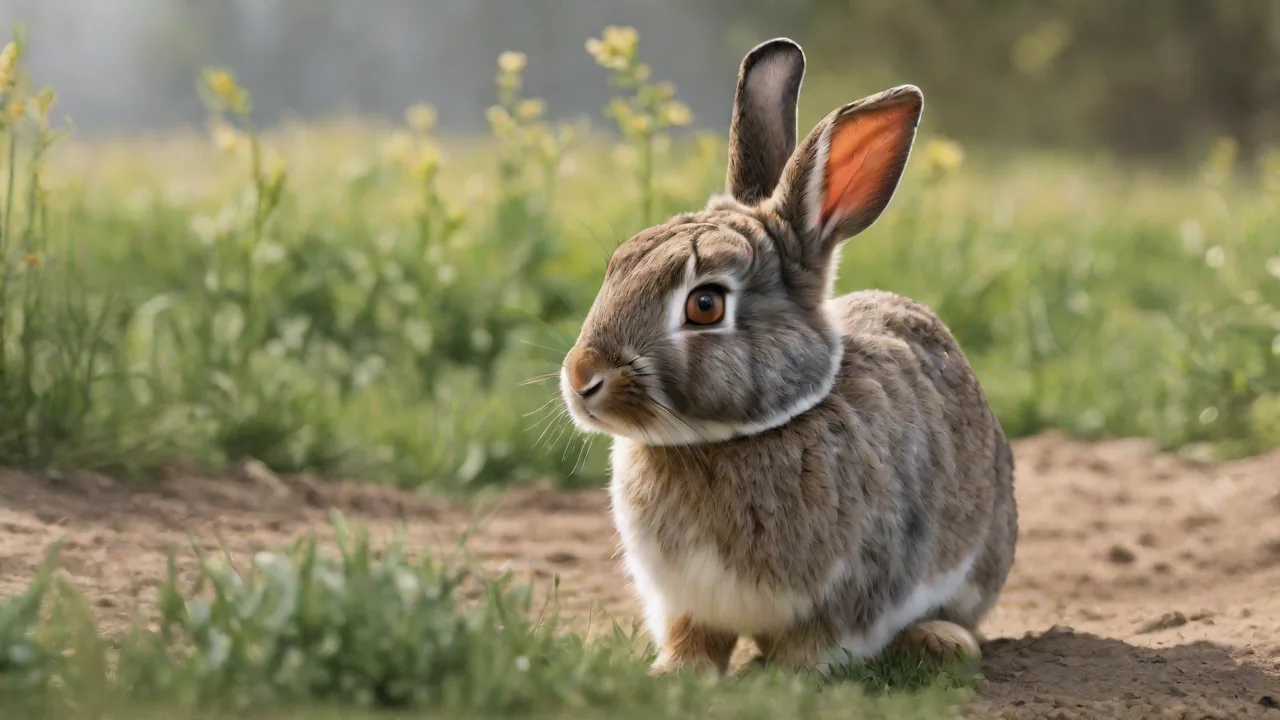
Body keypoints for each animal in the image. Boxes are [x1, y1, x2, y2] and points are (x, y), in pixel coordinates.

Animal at [558, 37, 1017, 677]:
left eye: (705, 304)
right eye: (619, 263)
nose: (582, 377)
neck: (727, 439)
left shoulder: (851, 593)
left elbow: (815, 646)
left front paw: (780, 678)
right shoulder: (685, 602)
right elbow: (692, 638)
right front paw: (674, 673)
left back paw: (940, 642)